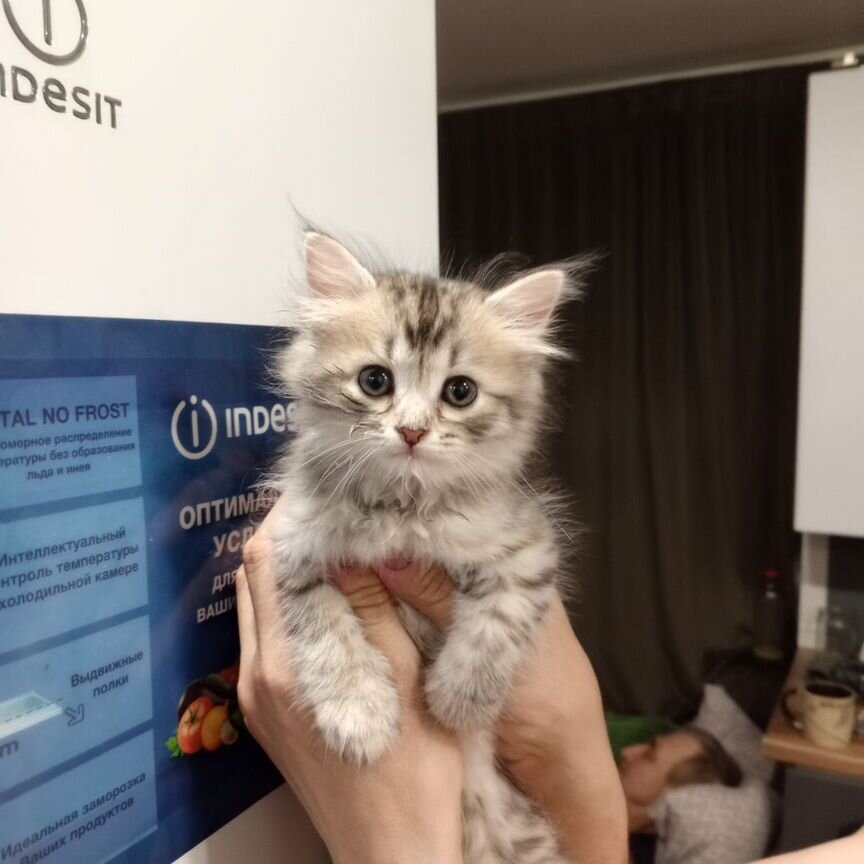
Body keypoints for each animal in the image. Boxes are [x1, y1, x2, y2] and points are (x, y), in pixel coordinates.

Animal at [269, 231, 586, 863]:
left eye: (459, 392)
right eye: (375, 381)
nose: (412, 432)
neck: (401, 509)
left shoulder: (529, 549)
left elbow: (494, 628)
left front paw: (456, 699)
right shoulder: (293, 549)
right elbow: (325, 630)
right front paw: (359, 713)